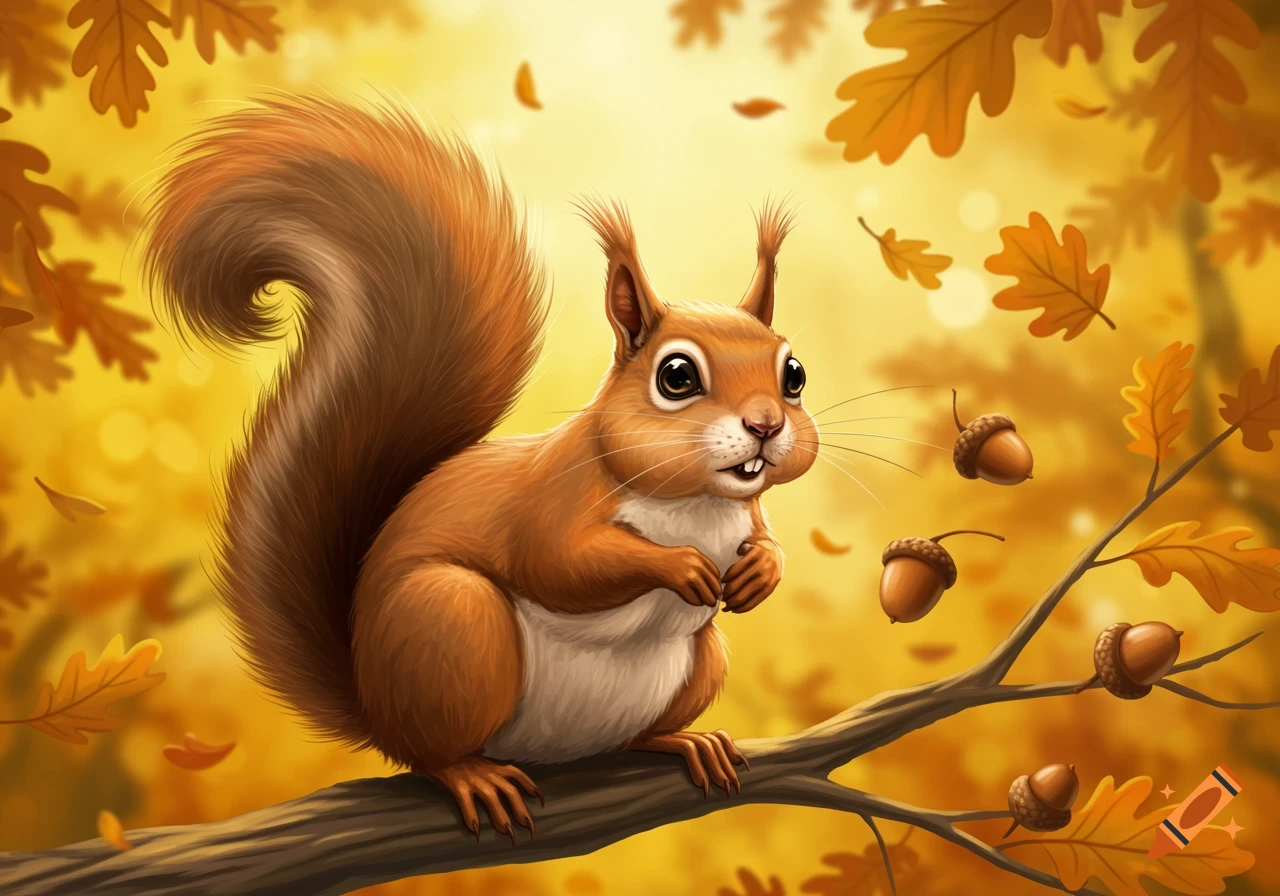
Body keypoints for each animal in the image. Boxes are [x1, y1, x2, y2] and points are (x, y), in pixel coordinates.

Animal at [142, 96, 817, 842]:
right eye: (676, 376)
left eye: (793, 373)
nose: (766, 426)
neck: (696, 504)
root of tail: (373, 704)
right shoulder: (553, 498)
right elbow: (559, 563)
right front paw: (678, 566)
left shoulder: (746, 512)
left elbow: (765, 542)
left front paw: (763, 571)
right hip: (454, 624)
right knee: (428, 752)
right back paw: (472, 775)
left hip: (701, 660)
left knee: (639, 732)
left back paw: (683, 740)